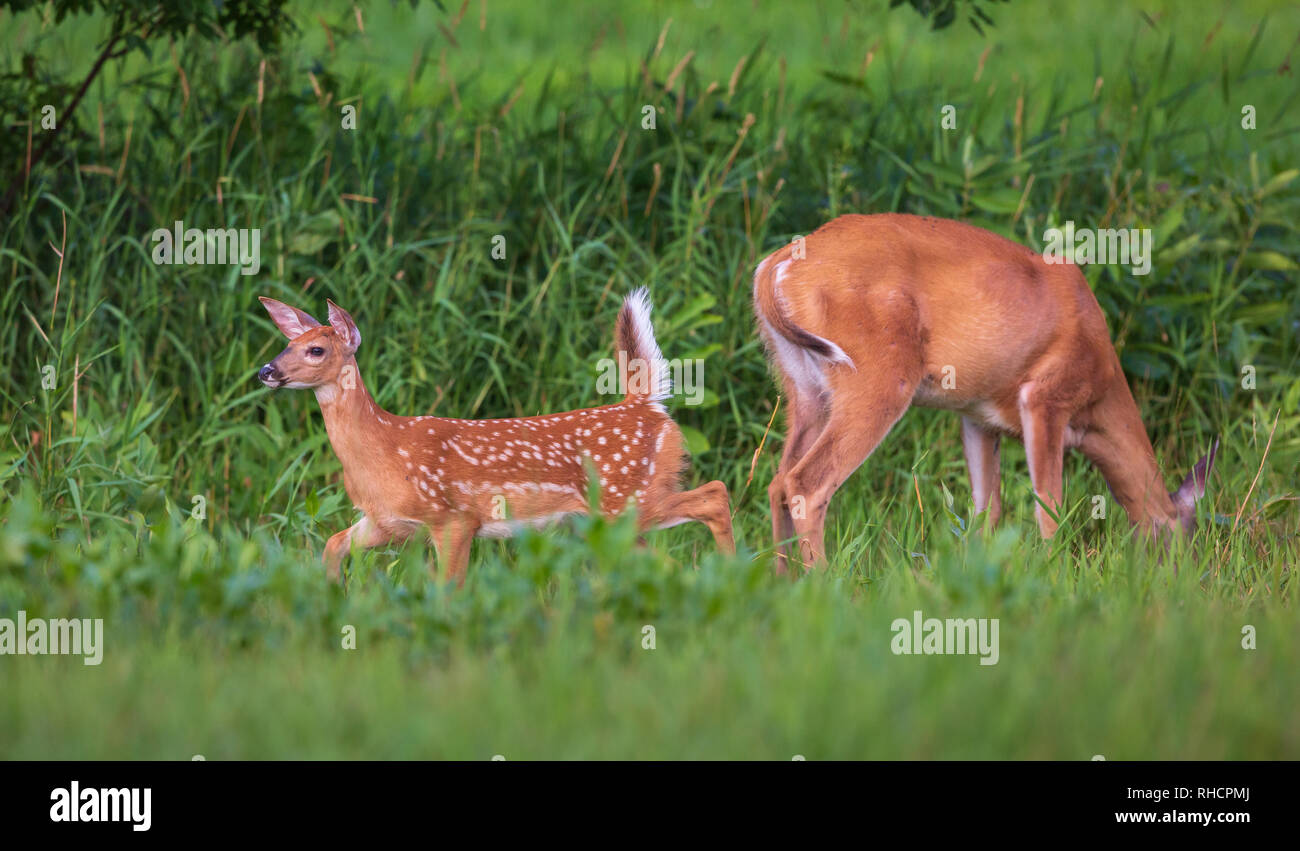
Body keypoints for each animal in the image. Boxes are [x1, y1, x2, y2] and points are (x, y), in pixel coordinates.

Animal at [257, 288, 735, 584]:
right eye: (285, 344)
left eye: (316, 349)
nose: (267, 371)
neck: (386, 446)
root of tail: (647, 405)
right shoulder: (385, 521)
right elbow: (333, 545)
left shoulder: (454, 517)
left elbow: (449, 588)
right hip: (606, 520)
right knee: (665, 561)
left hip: (628, 499)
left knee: (714, 494)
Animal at [754, 213, 1218, 569]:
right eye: (1187, 537)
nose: (1190, 578)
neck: (1098, 400)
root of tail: (774, 268)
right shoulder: (1045, 397)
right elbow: (1048, 507)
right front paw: (1055, 577)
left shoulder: (978, 417)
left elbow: (985, 512)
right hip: (877, 378)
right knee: (806, 483)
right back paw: (825, 582)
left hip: (805, 391)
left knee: (778, 482)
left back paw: (782, 582)